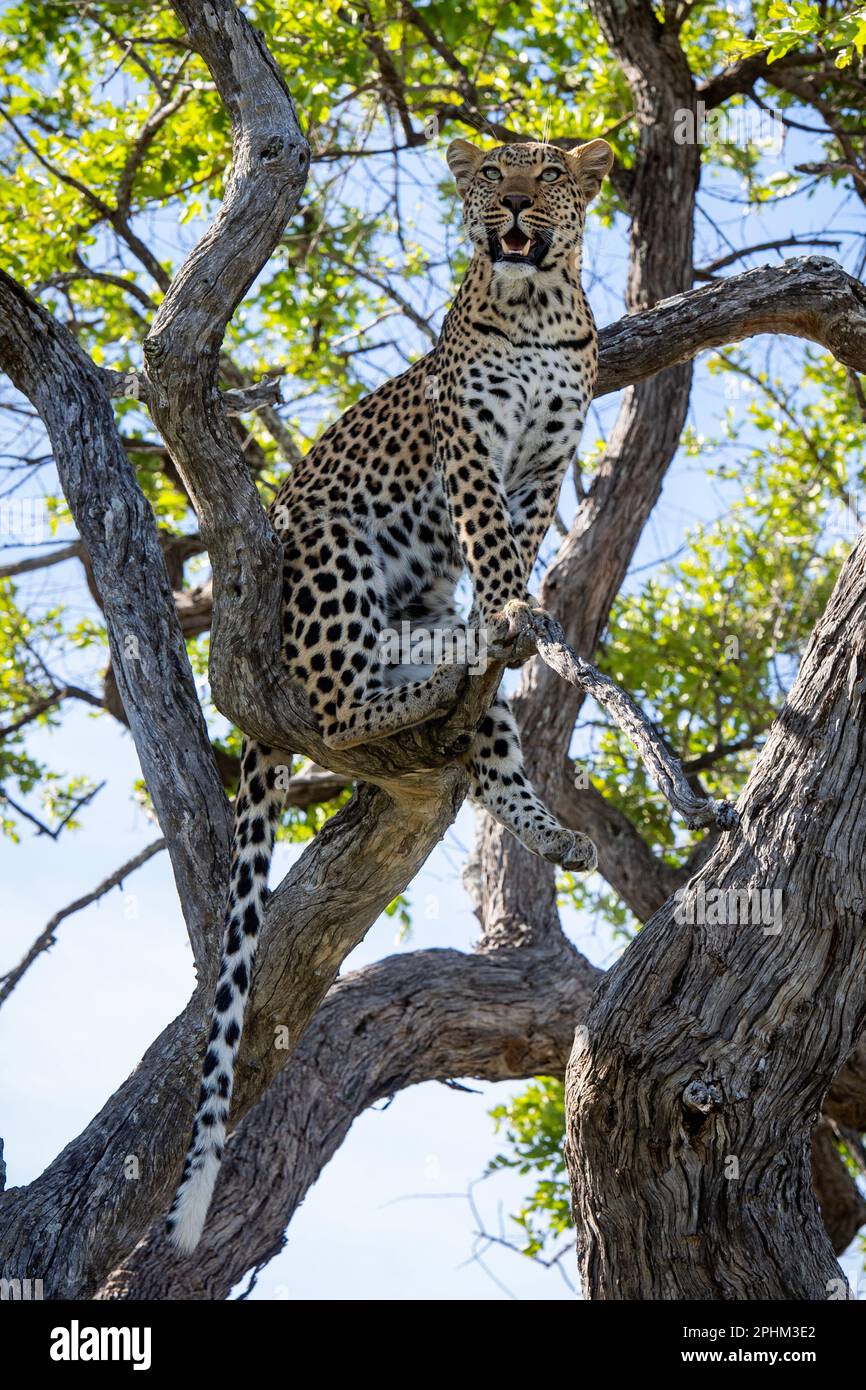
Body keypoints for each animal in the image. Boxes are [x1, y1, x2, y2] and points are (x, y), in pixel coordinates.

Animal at [167, 135, 614, 1254]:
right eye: (490, 172)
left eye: (546, 172)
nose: (510, 203)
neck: (536, 307)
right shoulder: (473, 450)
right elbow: (490, 538)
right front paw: (512, 607)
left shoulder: (545, 458)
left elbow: (521, 536)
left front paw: (519, 608)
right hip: (332, 546)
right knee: (332, 701)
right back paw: (444, 658)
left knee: (482, 738)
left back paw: (540, 812)